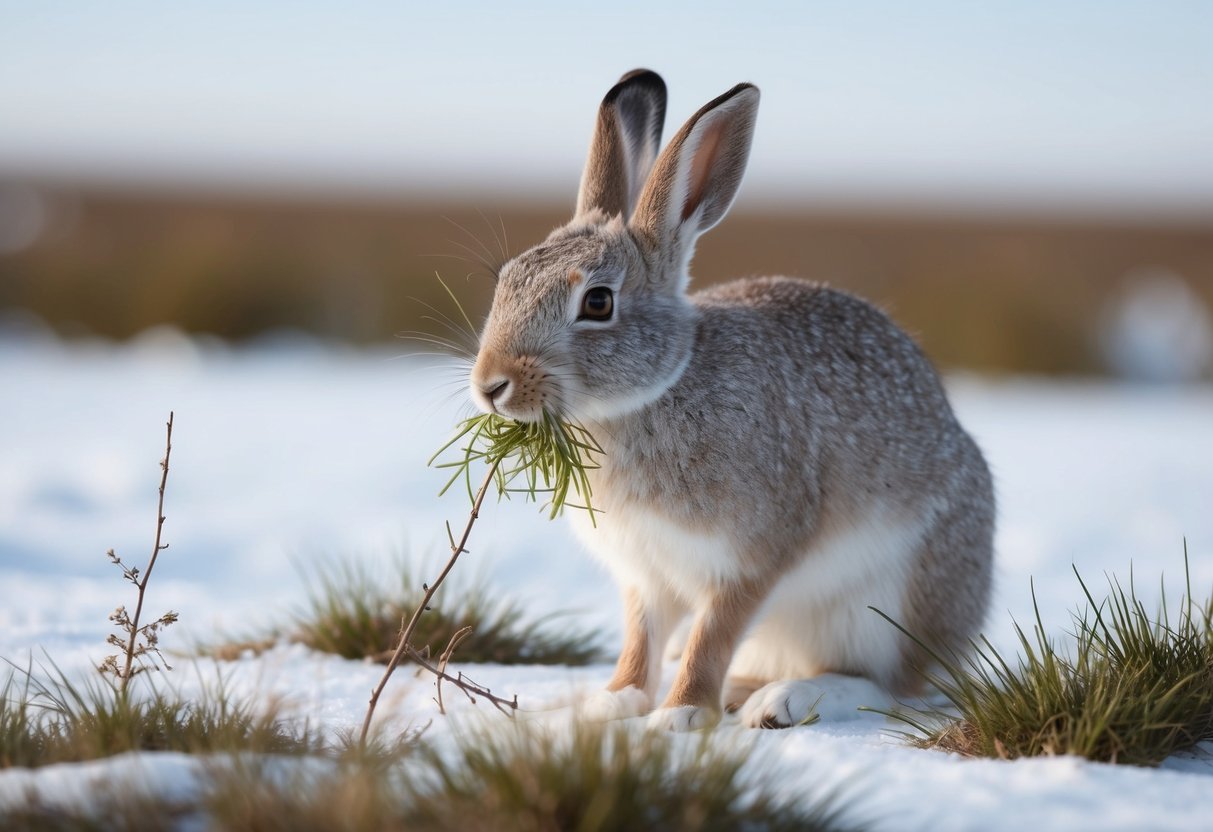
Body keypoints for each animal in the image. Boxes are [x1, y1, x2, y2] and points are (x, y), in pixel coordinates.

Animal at [468, 69, 994, 730]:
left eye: (597, 302)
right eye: (506, 279)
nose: (490, 384)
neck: (653, 394)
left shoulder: (751, 560)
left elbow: (711, 637)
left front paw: (681, 715)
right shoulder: (645, 576)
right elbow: (641, 641)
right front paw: (612, 702)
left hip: (888, 604)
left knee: (891, 687)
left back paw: (784, 701)